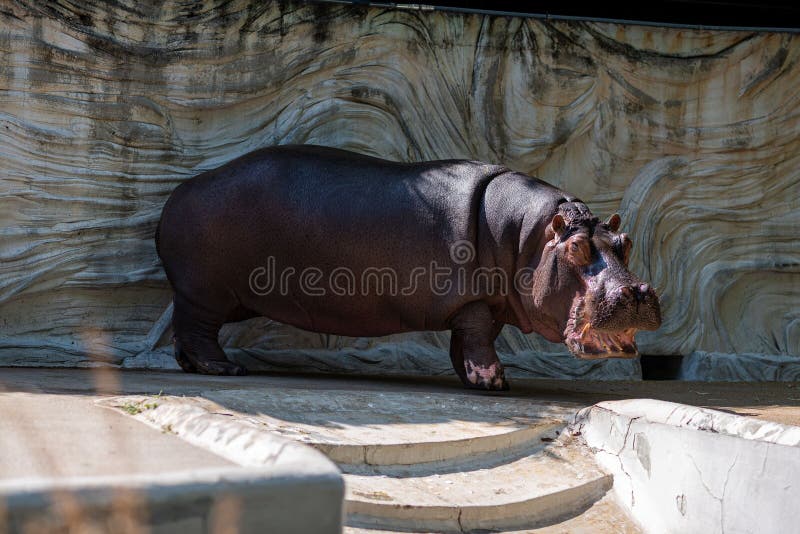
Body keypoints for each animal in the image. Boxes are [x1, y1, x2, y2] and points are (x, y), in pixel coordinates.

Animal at [156, 145, 661, 390]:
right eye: (575, 249)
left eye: (625, 242)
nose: (637, 292)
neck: (530, 237)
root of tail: (181, 191)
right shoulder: (474, 301)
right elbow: (478, 339)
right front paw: (494, 382)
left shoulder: (488, 301)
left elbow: (469, 341)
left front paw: (473, 377)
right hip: (206, 292)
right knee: (197, 329)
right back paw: (225, 369)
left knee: (186, 332)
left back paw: (195, 367)